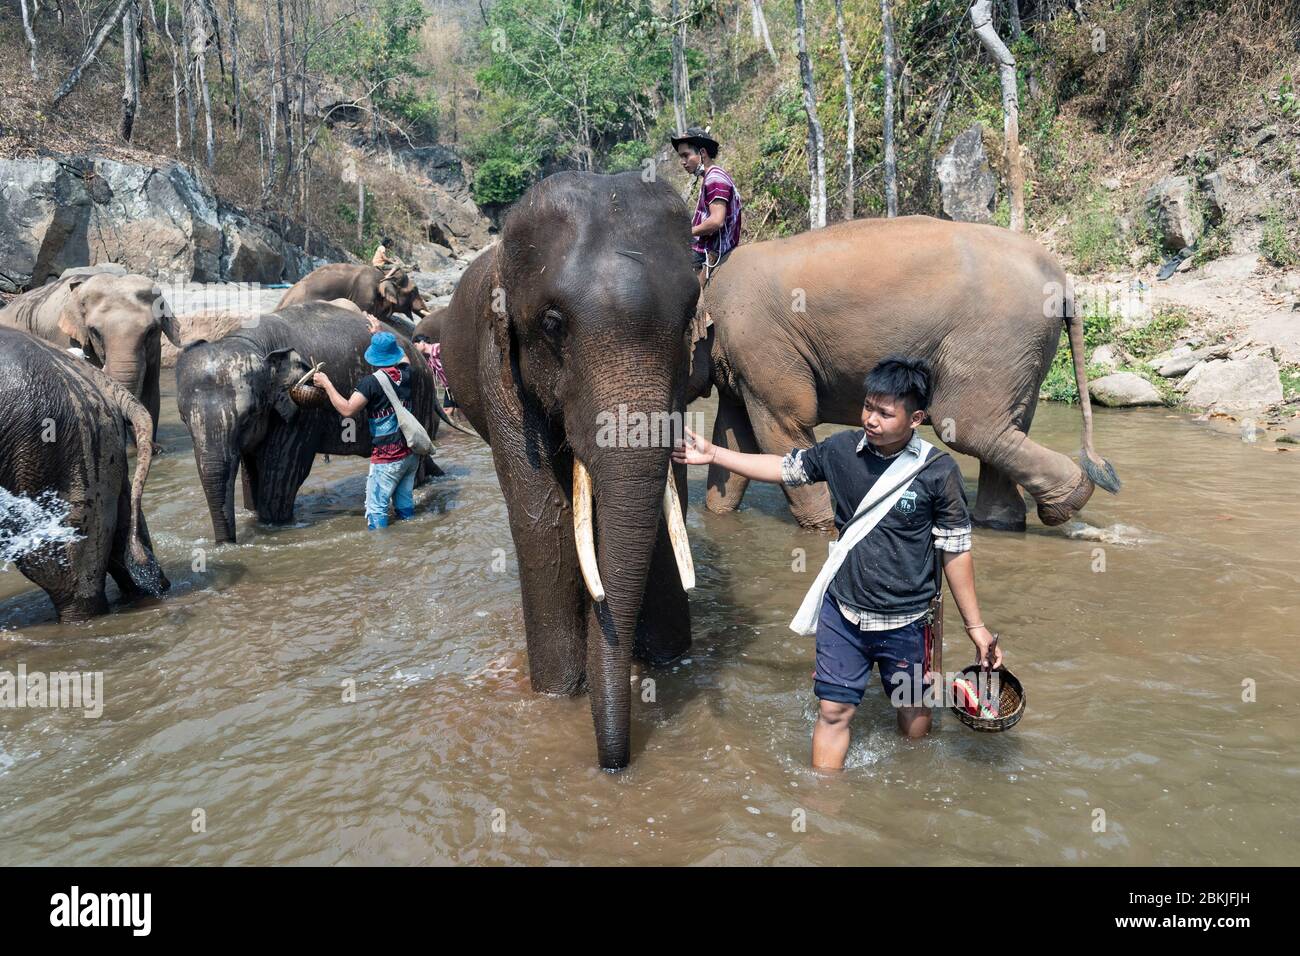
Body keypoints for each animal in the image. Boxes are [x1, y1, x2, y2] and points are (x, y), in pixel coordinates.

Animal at [0, 272, 184, 439]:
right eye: (95, 332)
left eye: (151, 331)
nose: (158, 450)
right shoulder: (64, 337)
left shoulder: (155, 349)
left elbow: (150, 393)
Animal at [175, 302, 455, 544]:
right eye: (183, 419)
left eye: (248, 417)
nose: (226, 543)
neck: (254, 343)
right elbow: (251, 473)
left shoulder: (298, 415)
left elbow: (279, 477)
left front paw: (271, 525)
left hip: (419, 395)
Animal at [441, 171, 700, 770]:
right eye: (553, 324)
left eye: (688, 318)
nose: (613, 766)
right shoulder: (499, 366)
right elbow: (545, 520)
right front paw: (559, 694)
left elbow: (657, 510)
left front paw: (669, 660)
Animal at [689, 215, 1120, 532]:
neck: (711, 276)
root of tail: (1064, 281)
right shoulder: (739, 362)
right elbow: (735, 435)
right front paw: (716, 514)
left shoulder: (760, 344)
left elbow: (782, 427)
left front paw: (826, 529)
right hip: (1023, 353)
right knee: (1007, 428)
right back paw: (1009, 520)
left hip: (996, 339)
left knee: (967, 426)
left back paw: (1068, 502)